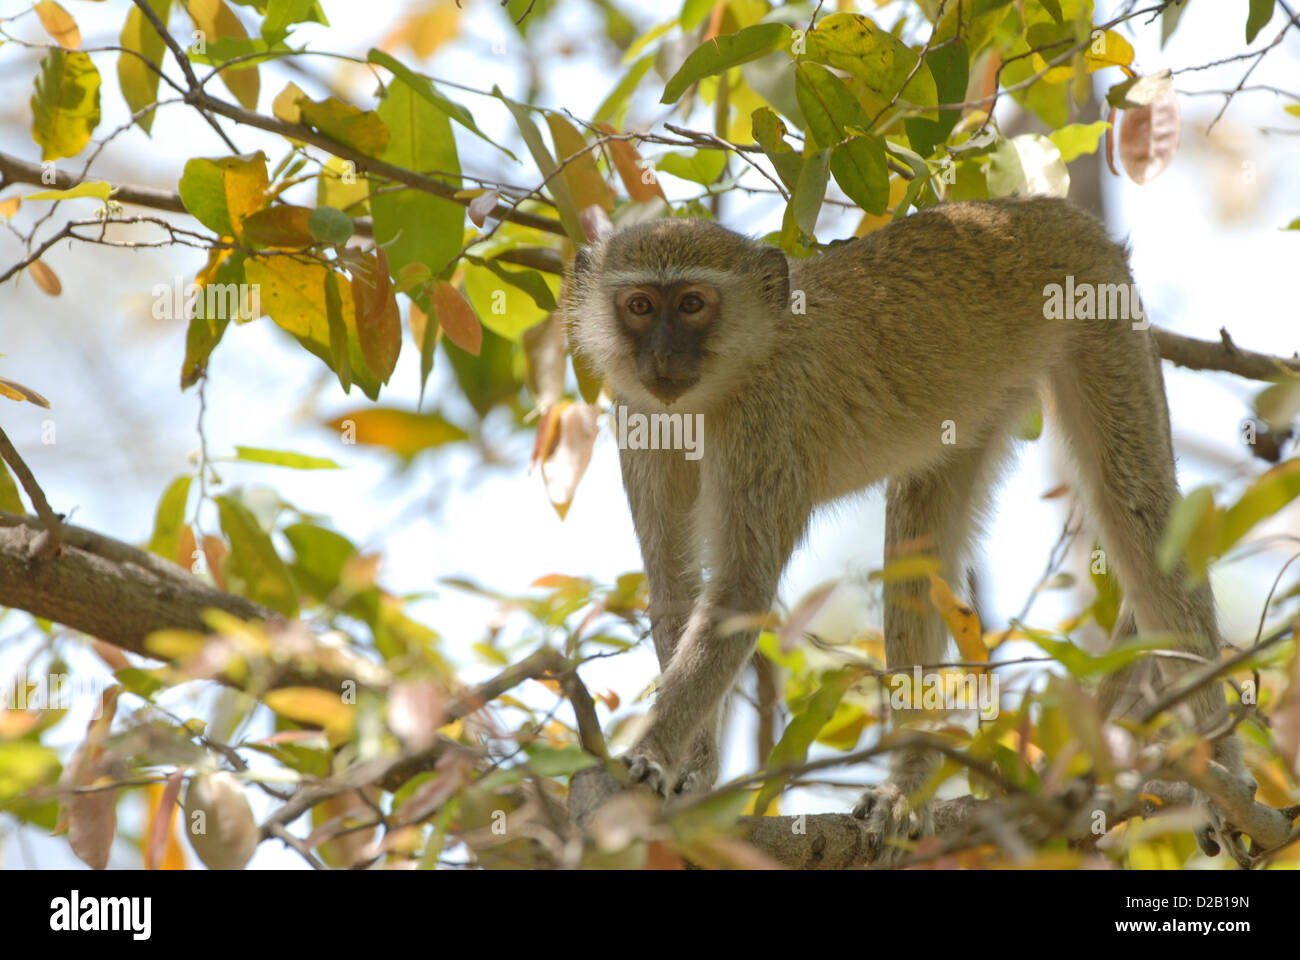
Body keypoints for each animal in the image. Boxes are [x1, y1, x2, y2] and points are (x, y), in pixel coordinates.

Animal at [564, 196, 1249, 863]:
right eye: (640, 306)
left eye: (693, 304)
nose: (662, 357)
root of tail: (1045, 210)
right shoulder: (636, 414)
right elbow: (674, 588)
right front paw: (692, 775)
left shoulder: (769, 421)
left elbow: (739, 592)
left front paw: (652, 753)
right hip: (980, 404)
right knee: (920, 545)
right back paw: (911, 783)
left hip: (1101, 314)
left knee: (1138, 511)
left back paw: (1218, 765)